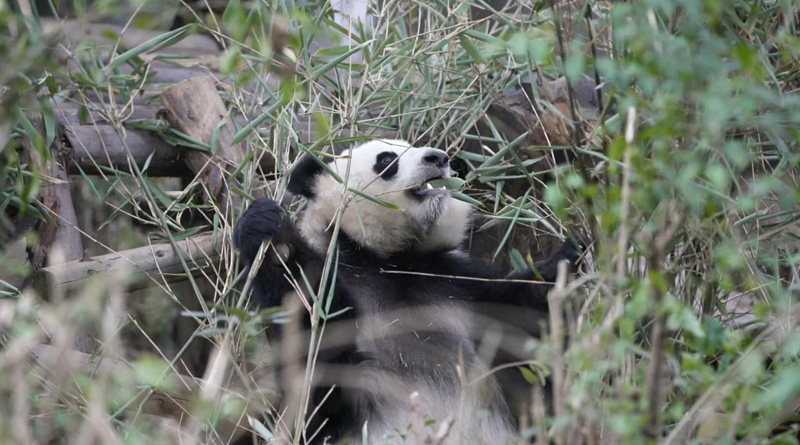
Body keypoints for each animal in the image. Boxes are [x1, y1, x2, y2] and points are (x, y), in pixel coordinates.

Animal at [234, 139, 579, 444]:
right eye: (387, 159)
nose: (439, 158)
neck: (392, 260)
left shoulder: (455, 285)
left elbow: (525, 346)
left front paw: (560, 265)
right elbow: (314, 364)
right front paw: (271, 232)